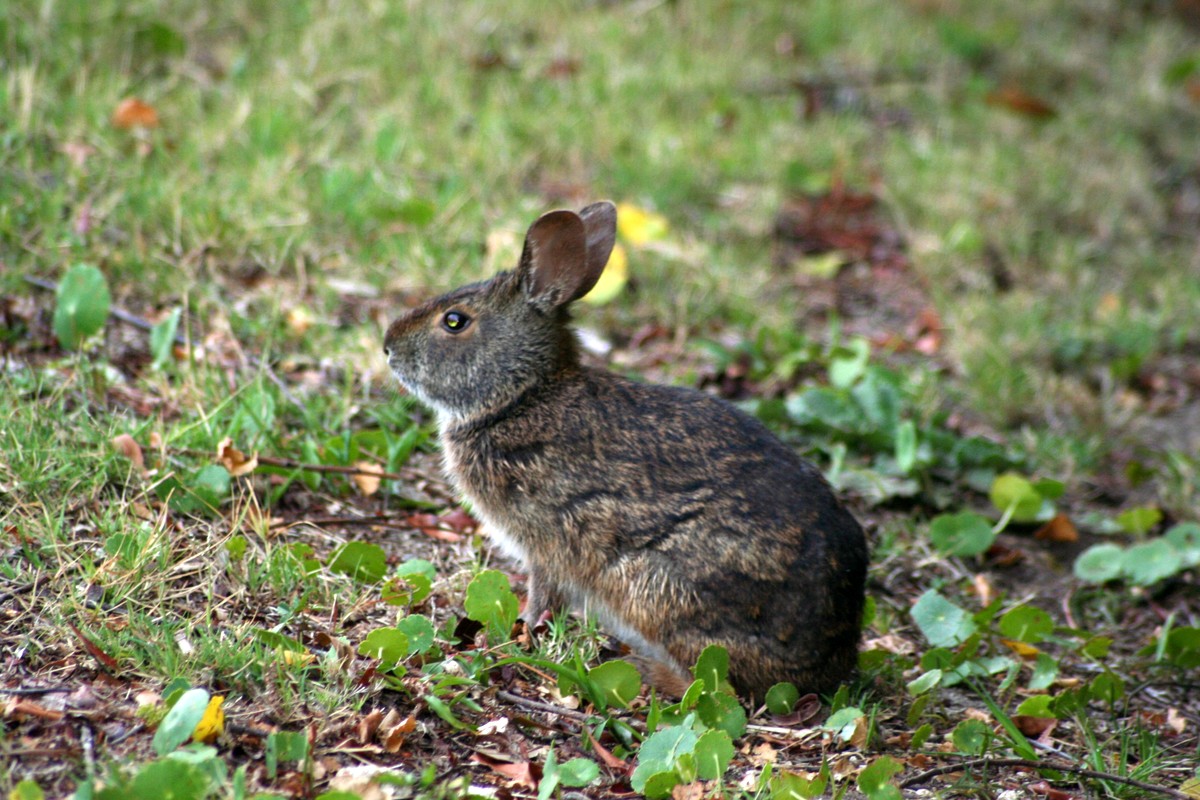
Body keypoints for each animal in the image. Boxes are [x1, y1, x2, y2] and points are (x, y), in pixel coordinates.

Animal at [383, 201, 868, 699]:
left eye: (454, 321)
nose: (387, 347)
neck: (522, 396)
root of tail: (829, 658)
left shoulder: (545, 545)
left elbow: (544, 594)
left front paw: (522, 632)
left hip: (655, 589)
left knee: (713, 681)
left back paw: (638, 668)